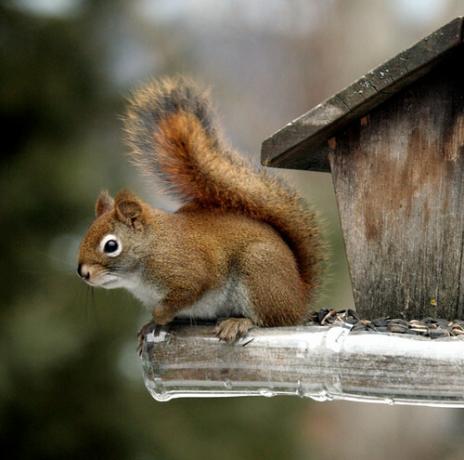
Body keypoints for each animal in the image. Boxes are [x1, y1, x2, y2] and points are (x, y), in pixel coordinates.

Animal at [77, 75, 326, 342]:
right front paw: (149, 325)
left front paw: (160, 315)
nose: (83, 273)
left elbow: (187, 292)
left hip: (259, 272)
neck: (151, 249)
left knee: (270, 319)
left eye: (111, 246)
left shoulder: (191, 272)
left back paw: (238, 322)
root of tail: (299, 298)